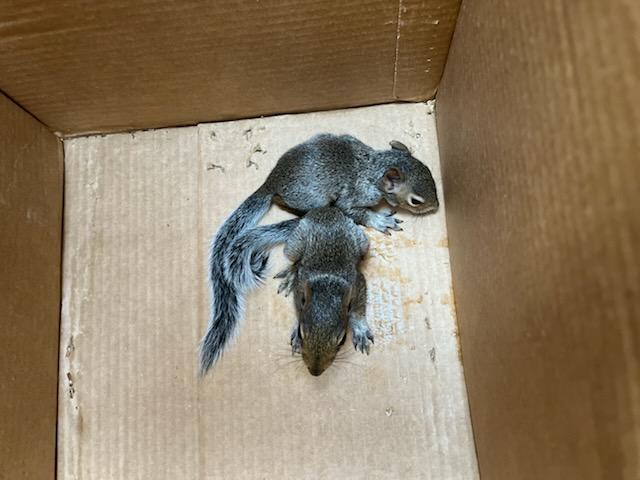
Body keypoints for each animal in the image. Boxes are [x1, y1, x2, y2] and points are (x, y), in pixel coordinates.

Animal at [274, 206, 372, 376]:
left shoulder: (358, 283)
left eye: (342, 339)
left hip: (362, 242)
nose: (315, 372)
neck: (327, 283)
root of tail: (327, 210)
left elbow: (358, 308)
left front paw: (360, 330)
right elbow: (298, 309)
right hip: (294, 244)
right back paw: (290, 275)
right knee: (295, 262)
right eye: (300, 332)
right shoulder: (300, 286)